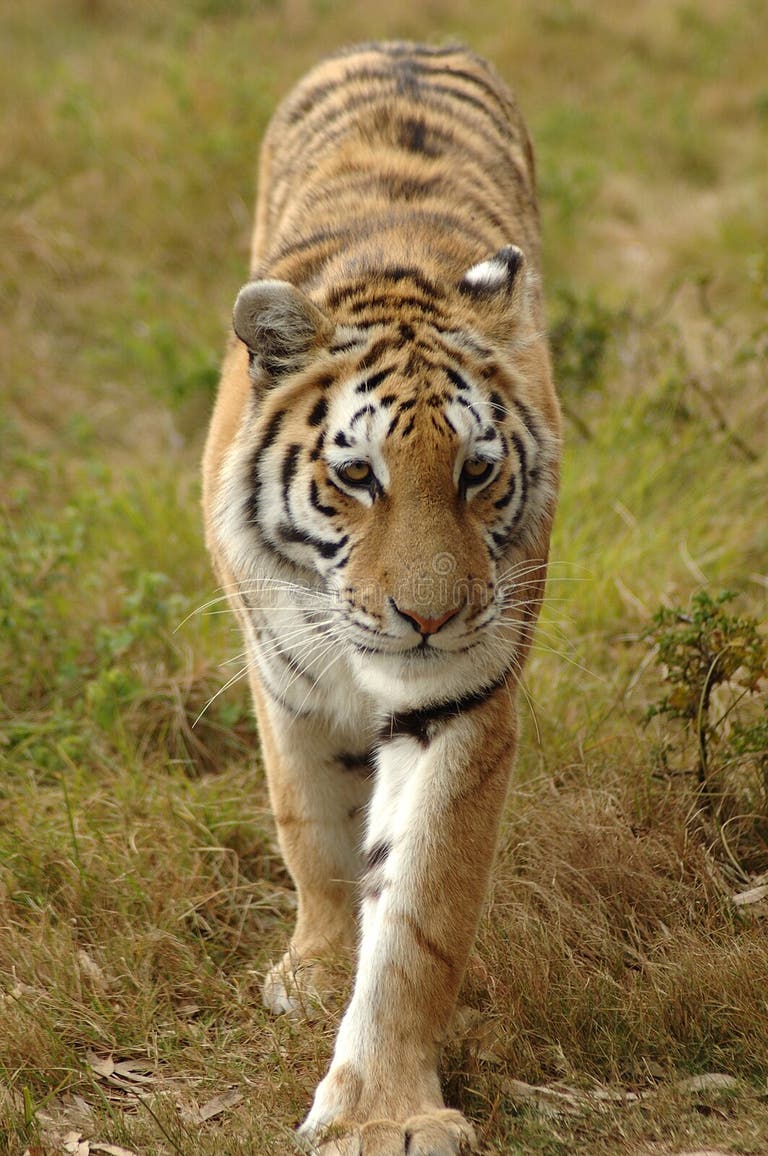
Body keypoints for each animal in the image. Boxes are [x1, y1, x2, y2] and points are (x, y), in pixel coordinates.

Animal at [202, 41, 561, 1155]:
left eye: (477, 471)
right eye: (358, 477)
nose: (430, 618)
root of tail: (407, 41)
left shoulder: (463, 697)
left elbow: (420, 913)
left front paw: (382, 1112)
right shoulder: (282, 671)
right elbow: (310, 826)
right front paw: (318, 972)